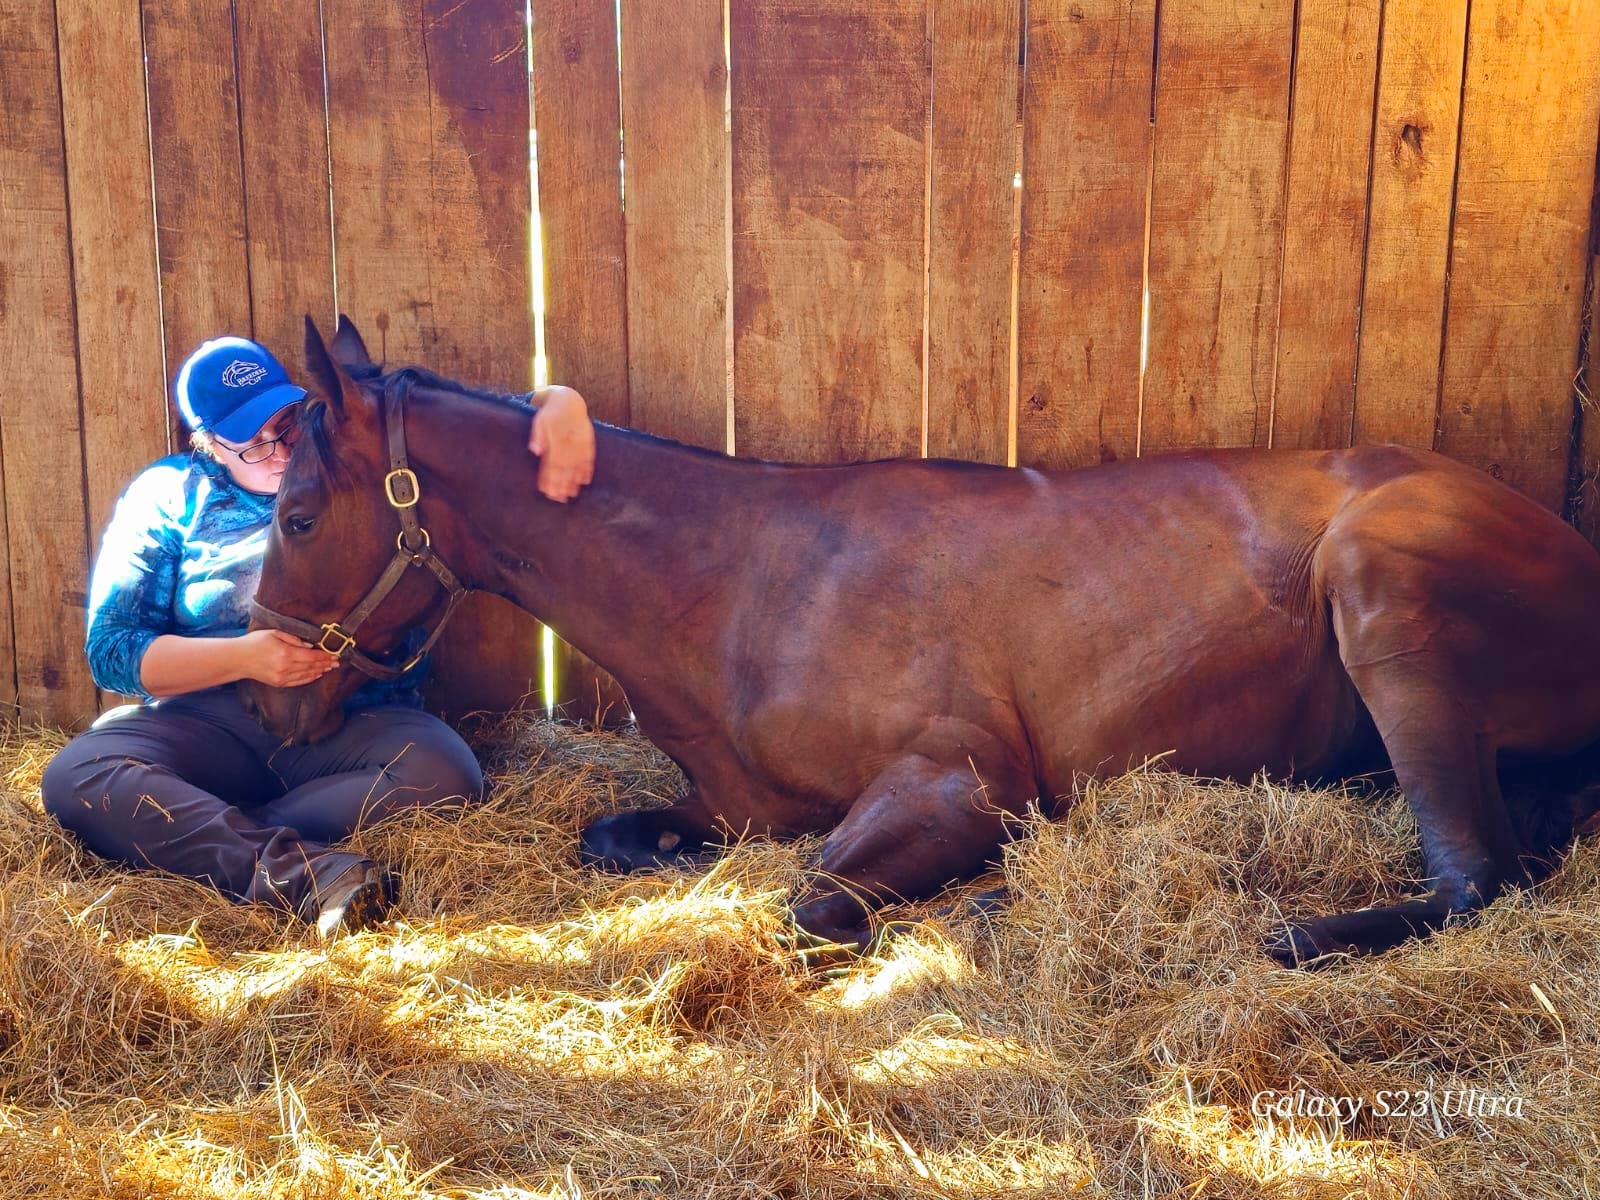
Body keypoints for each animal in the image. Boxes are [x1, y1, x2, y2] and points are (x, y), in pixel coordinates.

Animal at [240, 315, 1600, 966]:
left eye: (297, 514)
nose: (273, 703)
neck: (744, 580)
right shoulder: (739, 803)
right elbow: (623, 836)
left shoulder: (959, 780)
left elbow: (805, 908)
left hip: (1383, 594)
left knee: (1479, 877)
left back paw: (1288, 934)